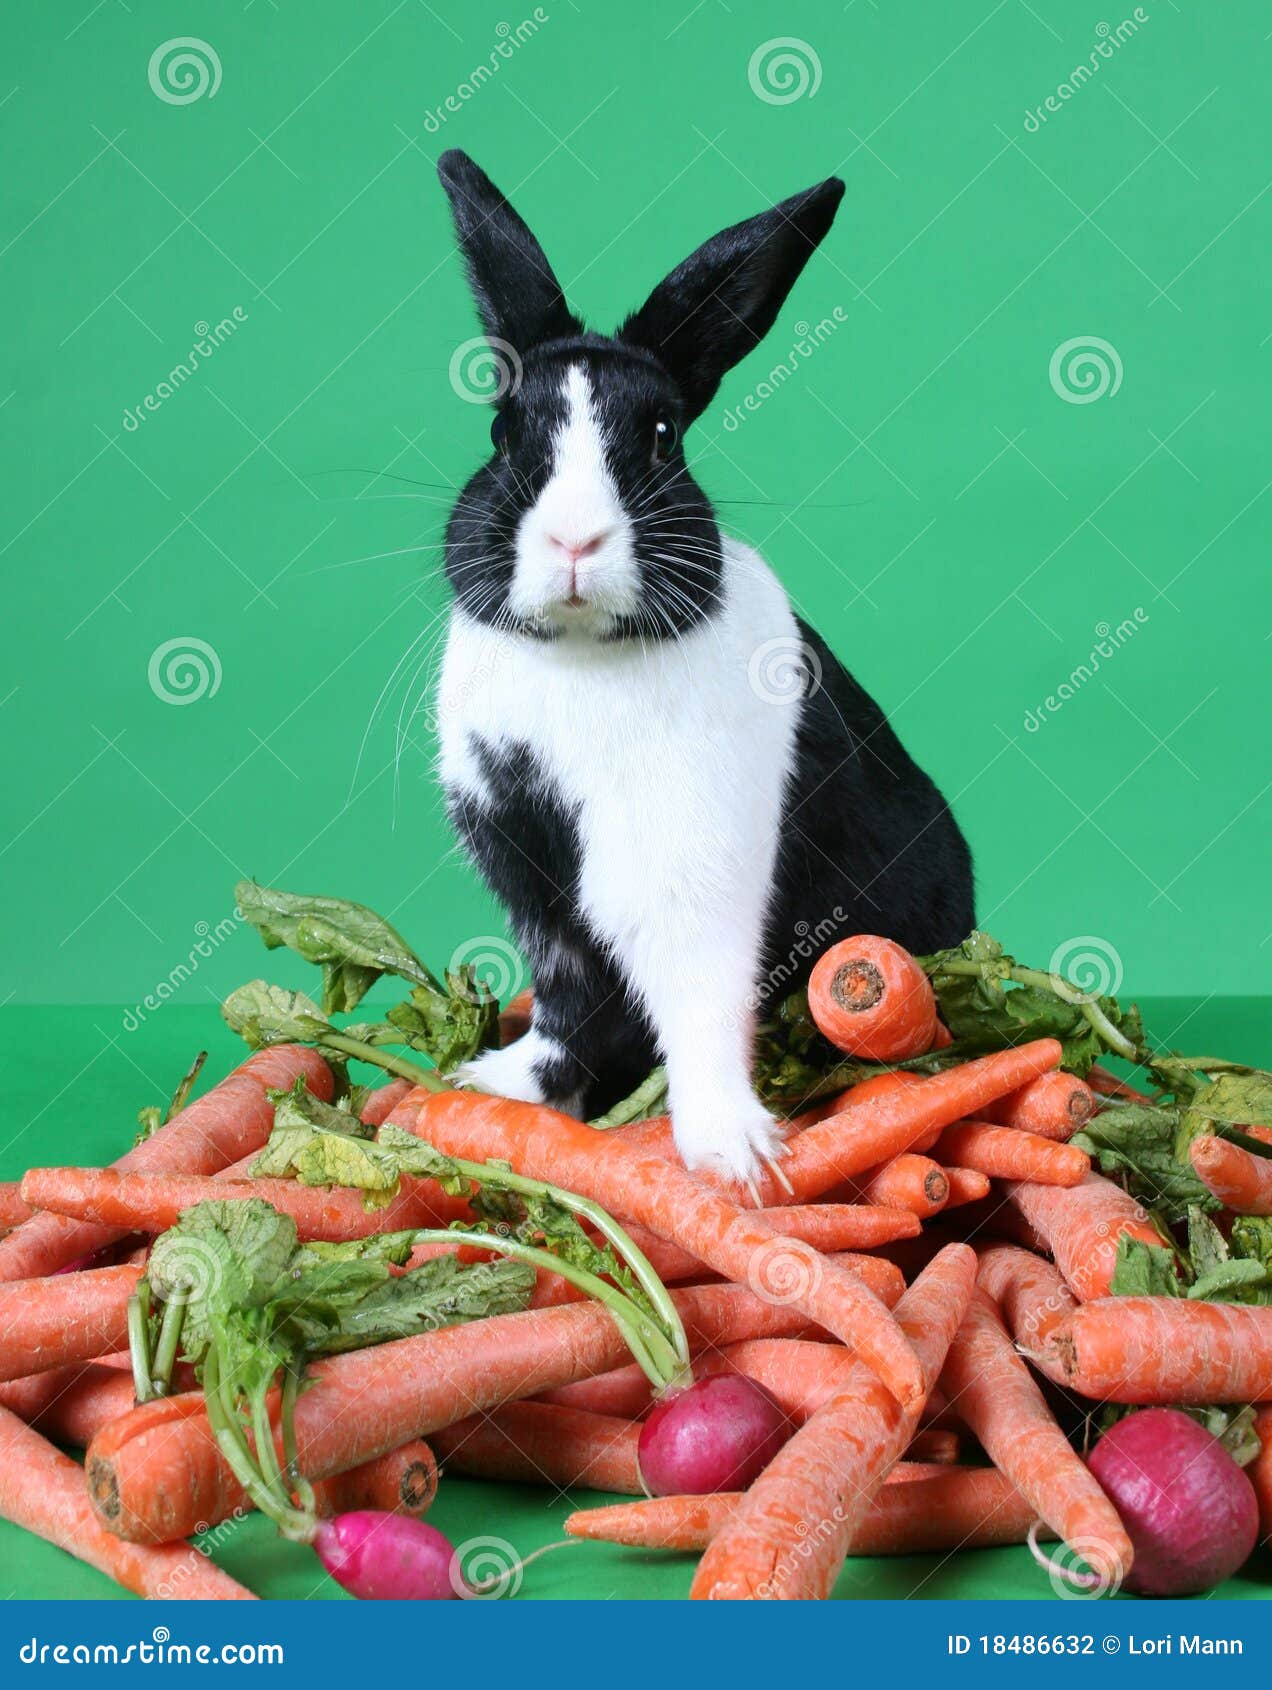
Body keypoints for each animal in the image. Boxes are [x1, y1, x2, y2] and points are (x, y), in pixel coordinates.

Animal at [433, 150, 974, 1189]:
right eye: (500, 435)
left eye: (662, 437)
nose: (573, 541)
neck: (581, 657)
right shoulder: (535, 883)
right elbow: (568, 1003)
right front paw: (504, 1088)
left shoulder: (691, 871)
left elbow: (699, 1000)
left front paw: (731, 1152)